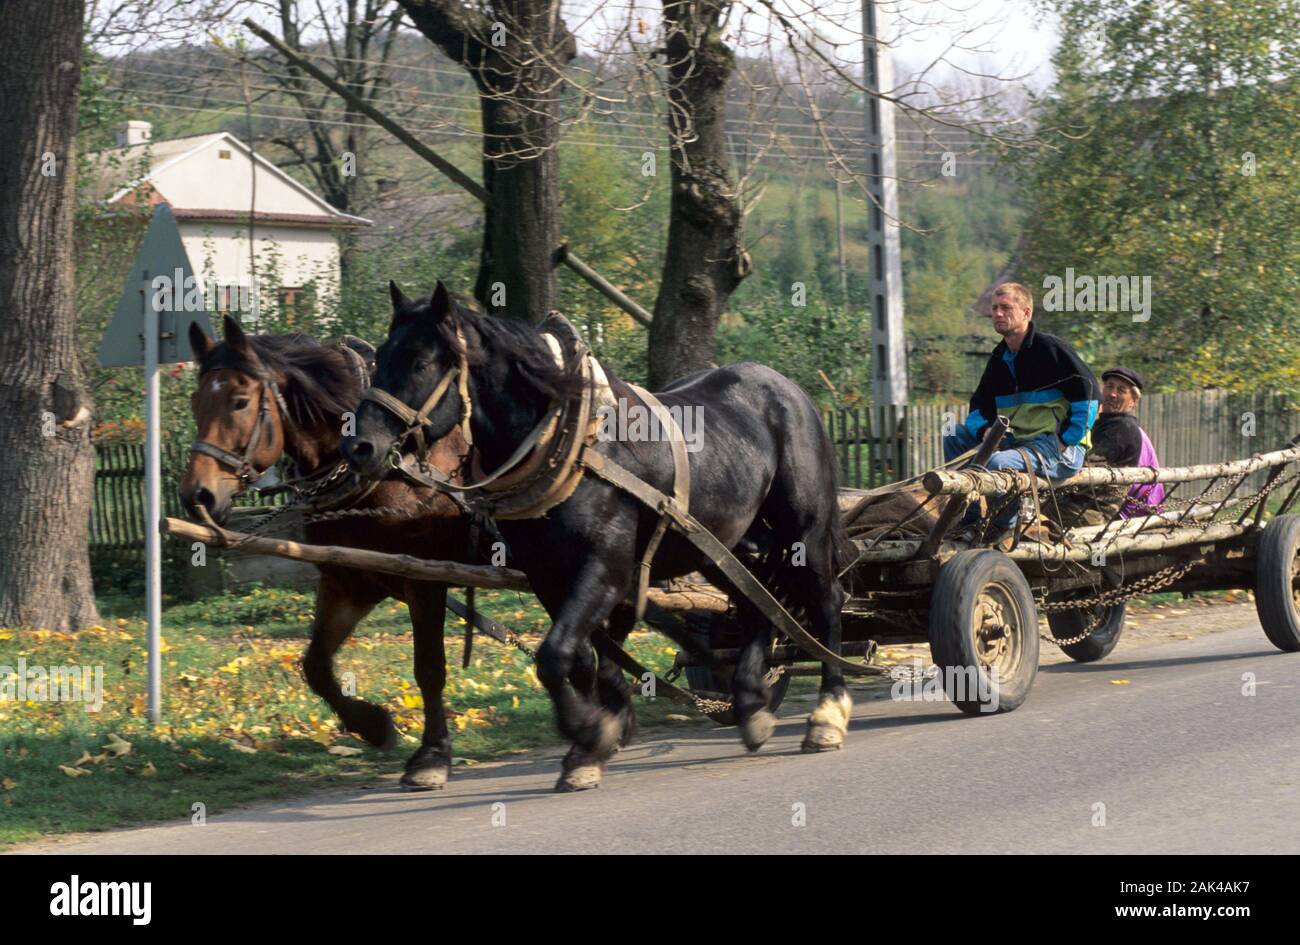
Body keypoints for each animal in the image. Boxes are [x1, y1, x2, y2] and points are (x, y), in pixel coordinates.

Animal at [178, 314, 474, 790]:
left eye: (240, 402)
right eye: (195, 402)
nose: (196, 496)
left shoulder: (425, 581)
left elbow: (429, 668)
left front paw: (432, 755)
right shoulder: (348, 581)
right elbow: (316, 666)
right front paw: (372, 724)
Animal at [342, 281, 852, 792]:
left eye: (421, 363)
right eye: (379, 358)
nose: (360, 447)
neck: (570, 439)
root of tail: (789, 389)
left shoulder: (606, 567)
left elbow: (554, 655)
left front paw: (590, 733)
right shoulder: (548, 575)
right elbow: (579, 657)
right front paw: (595, 739)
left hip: (803, 529)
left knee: (825, 599)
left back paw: (827, 714)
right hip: (722, 546)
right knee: (761, 599)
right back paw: (749, 704)